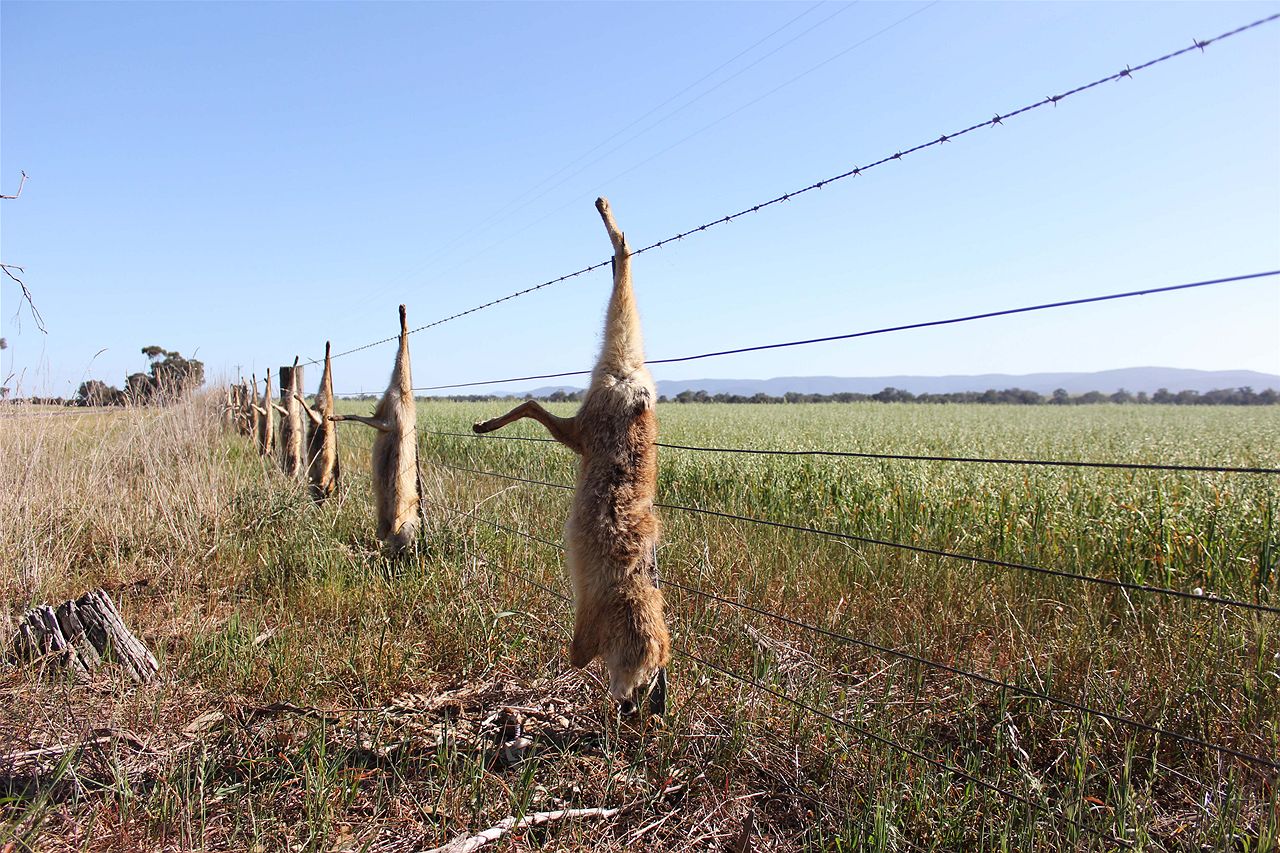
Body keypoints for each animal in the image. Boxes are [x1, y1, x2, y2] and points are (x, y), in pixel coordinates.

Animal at [473, 197, 669, 715]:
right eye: (643, 677)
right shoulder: (586, 631)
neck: (627, 600)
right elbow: (577, 656)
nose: (632, 704)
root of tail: (633, 381)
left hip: (583, 431)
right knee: (533, 403)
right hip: (581, 430)